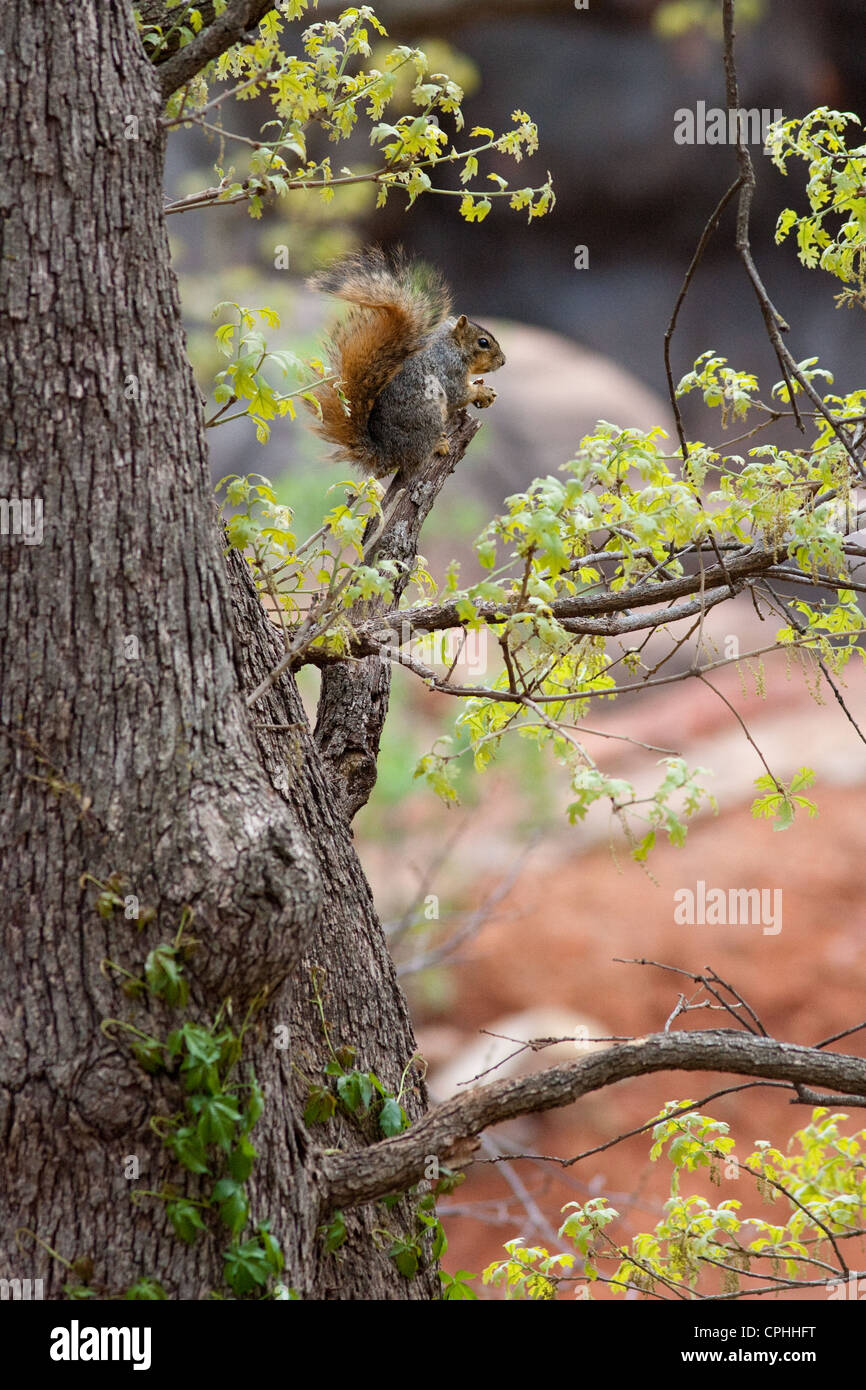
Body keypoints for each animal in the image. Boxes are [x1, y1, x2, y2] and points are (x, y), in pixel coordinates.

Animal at [306, 246, 505, 483]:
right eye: (483, 342)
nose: (504, 361)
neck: (451, 345)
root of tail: (385, 453)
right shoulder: (449, 367)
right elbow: (458, 394)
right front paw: (482, 392)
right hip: (428, 415)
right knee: (414, 460)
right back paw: (437, 445)